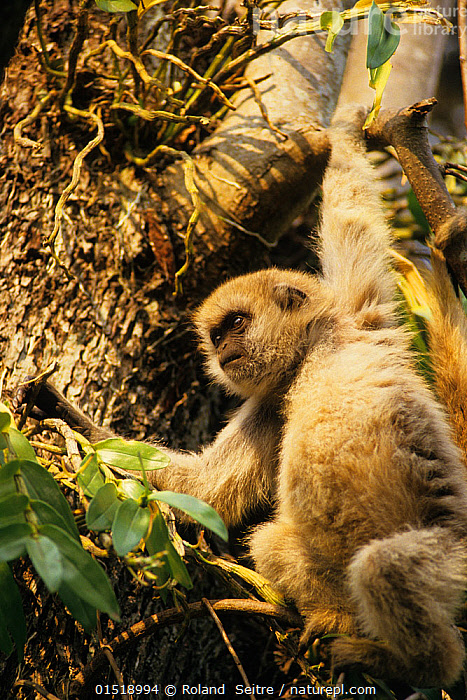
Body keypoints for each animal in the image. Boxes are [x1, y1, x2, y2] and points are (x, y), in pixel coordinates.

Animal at [14, 109, 467, 688]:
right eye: (215, 335)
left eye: (235, 324)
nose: (222, 348)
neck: (308, 360)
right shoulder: (274, 401)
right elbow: (205, 490)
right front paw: (56, 409)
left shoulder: (356, 315)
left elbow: (351, 212)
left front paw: (350, 129)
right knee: (274, 543)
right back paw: (338, 622)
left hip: (452, 559)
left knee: (385, 568)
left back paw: (416, 664)